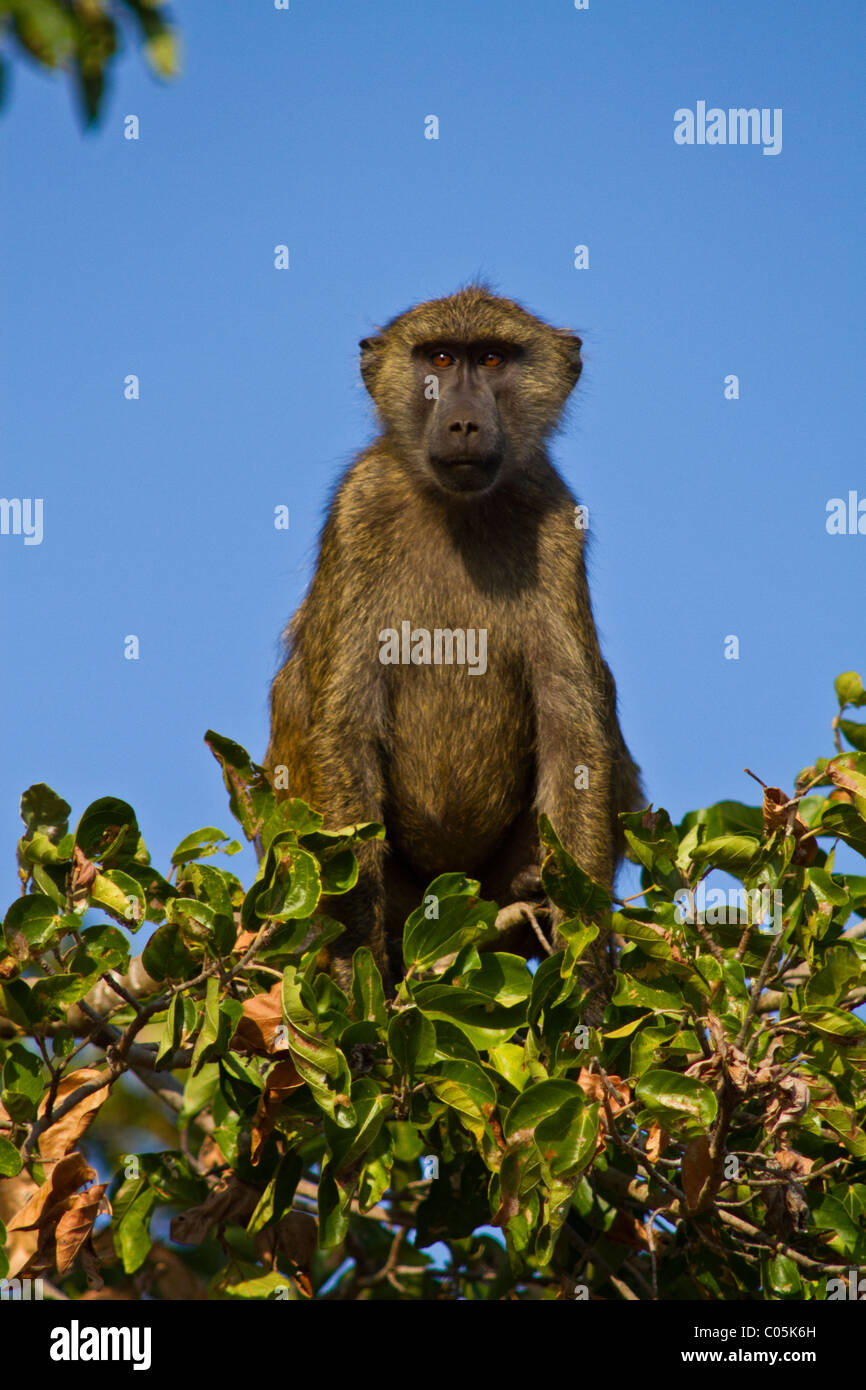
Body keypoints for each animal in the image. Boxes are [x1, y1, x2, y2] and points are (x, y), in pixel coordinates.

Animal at [265, 285, 642, 1021]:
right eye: (438, 358)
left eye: (492, 359)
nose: (464, 423)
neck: (459, 508)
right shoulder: (359, 510)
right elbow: (345, 725)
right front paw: (355, 975)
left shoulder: (557, 522)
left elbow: (576, 736)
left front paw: (586, 987)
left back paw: (526, 887)